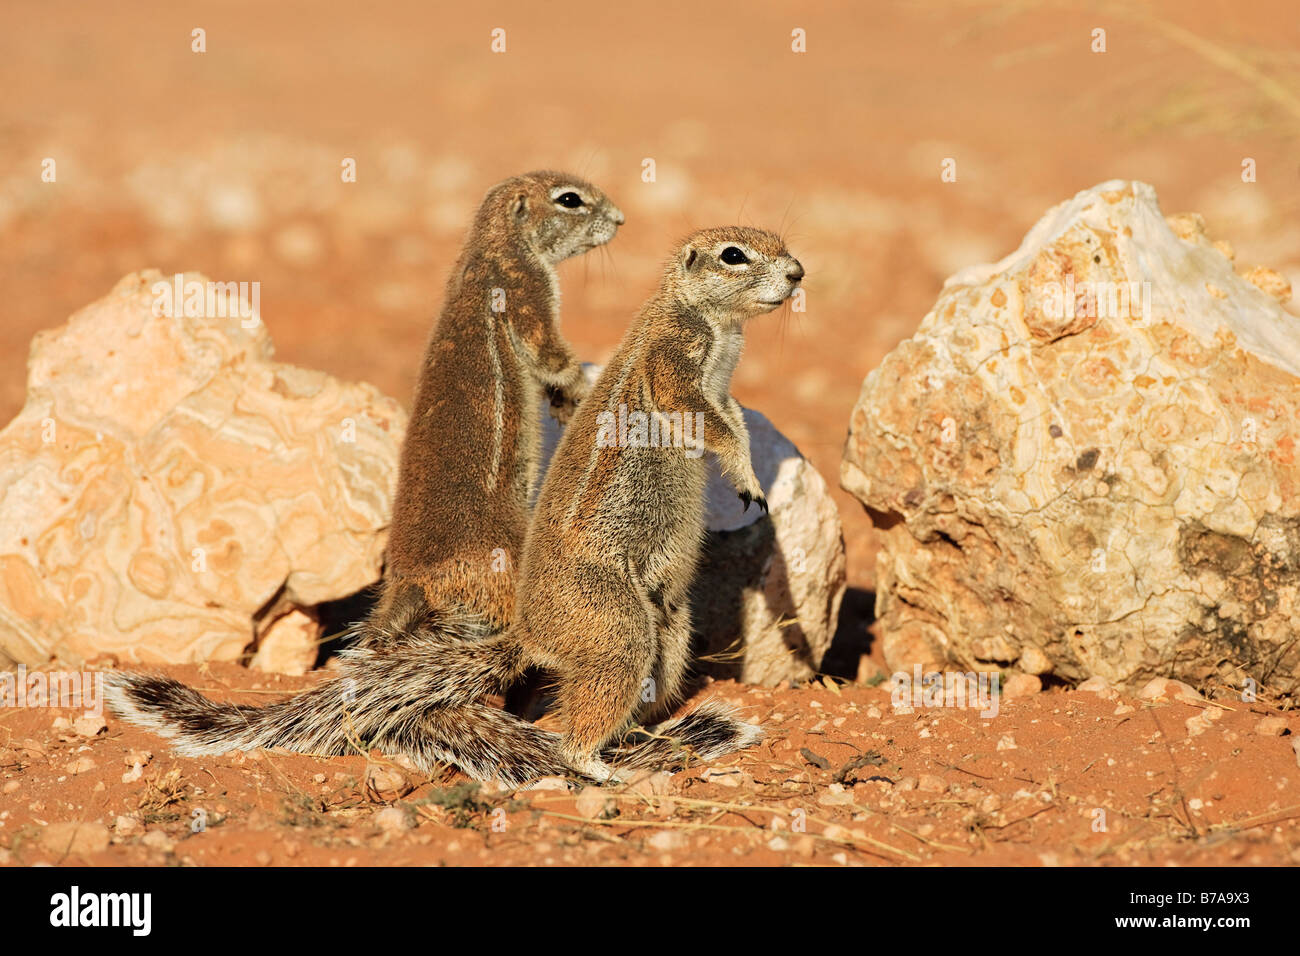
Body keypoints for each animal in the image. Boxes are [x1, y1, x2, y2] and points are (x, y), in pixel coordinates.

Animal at [105, 226, 803, 786]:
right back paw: (601, 766)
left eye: (778, 240)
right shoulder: (674, 366)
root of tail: (527, 634)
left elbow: (732, 420)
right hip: (614, 625)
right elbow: (708, 423)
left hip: (670, 626)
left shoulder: (722, 386)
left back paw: (643, 740)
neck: (708, 322)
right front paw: (746, 480)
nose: (798, 273)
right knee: (571, 728)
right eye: (734, 255)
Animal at [367, 169, 623, 646]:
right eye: (569, 199)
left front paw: (565, 406)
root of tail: (410, 581)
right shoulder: (528, 289)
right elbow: (550, 354)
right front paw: (583, 391)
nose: (620, 219)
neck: (495, 243)